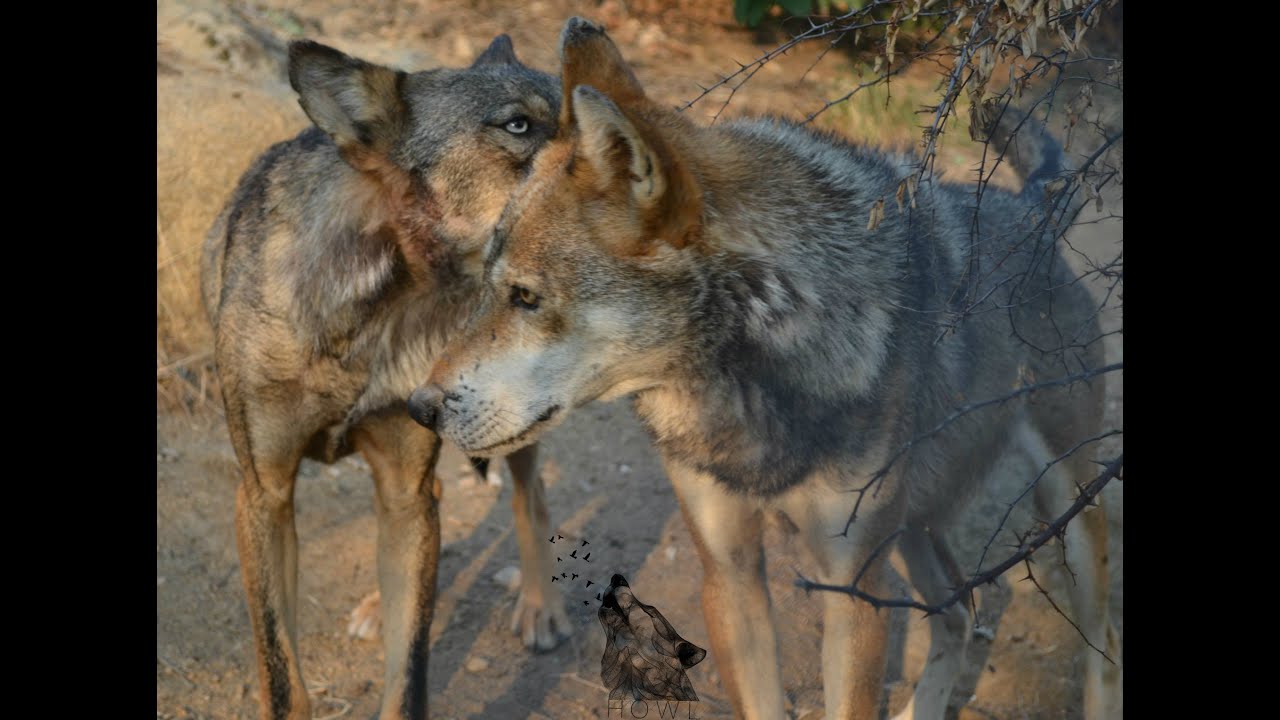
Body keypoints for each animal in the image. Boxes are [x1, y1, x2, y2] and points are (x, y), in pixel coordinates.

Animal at [200, 36, 572, 720]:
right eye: (517, 125)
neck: (377, 310)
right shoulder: (264, 495)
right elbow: (282, 674)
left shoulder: (403, 490)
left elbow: (409, 677)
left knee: (526, 492)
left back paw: (540, 608)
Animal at [408, 17, 1121, 720]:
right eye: (489, 285)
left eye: (525, 297)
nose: (419, 407)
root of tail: (1033, 209)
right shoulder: (728, 575)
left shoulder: (854, 589)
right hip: (912, 526)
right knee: (959, 610)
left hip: (1063, 509)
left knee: (1099, 642)